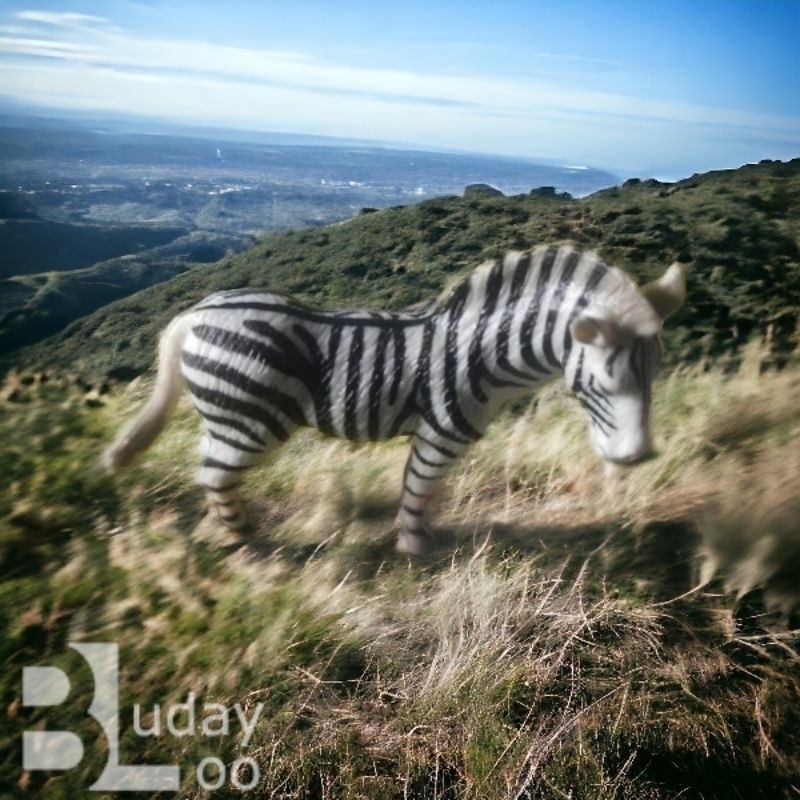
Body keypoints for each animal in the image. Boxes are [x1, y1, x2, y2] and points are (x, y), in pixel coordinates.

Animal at [104, 244, 685, 554]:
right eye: (599, 383)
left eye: (655, 374)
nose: (638, 458)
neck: (479, 351)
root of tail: (194, 313)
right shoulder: (440, 429)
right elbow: (419, 485)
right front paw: (415, 544)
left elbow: (419, 487)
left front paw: (419, 536)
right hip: (247, 419)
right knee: (213, 473)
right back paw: (242, 538)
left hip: (227, 417)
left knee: (208, 467)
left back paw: (220, 529)